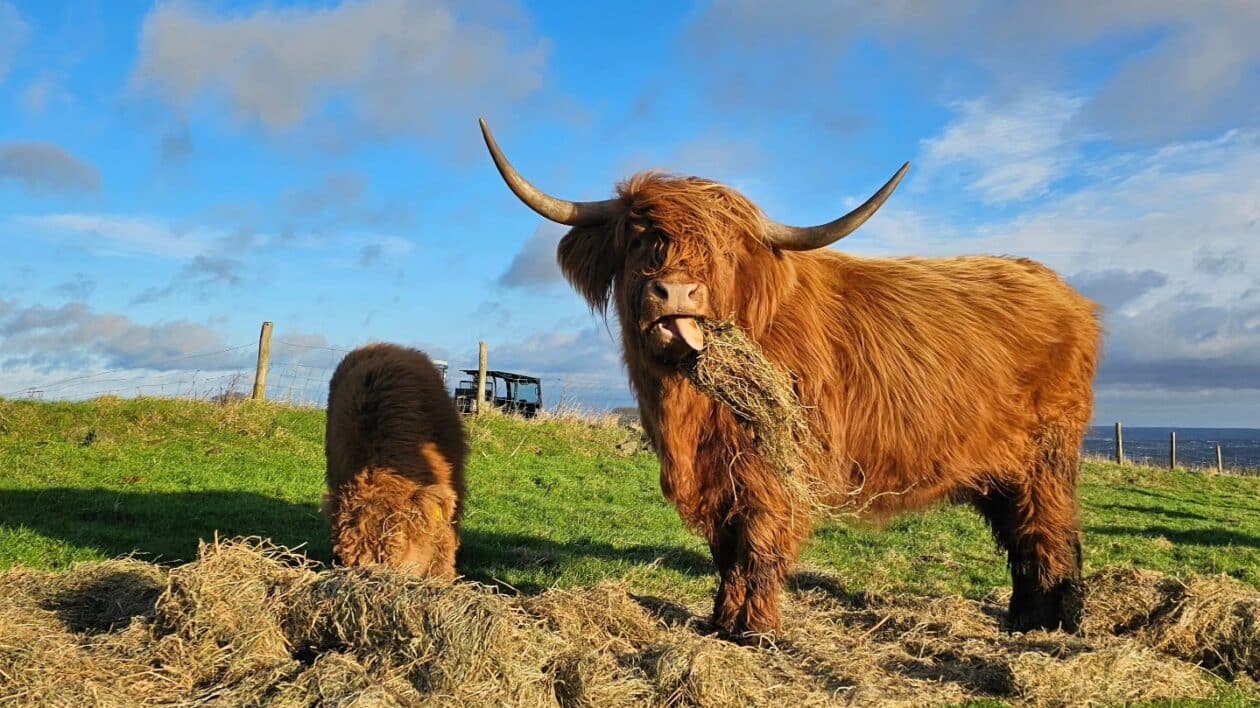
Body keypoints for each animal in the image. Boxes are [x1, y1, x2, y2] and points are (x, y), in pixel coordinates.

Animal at [479, 118, 1102, 638]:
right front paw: (719, 621)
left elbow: (758, 543)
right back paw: (1023, 618)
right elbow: (726, 549)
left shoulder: (772, 470)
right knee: (1022, 534)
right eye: (638, 239)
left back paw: (1056, 622)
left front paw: (753, 629)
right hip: (999, 467)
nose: (676, 293)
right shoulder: (719, 476)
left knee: (1050, 529)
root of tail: (1068, 294)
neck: (687, 415)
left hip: (1045, 455)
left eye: (726, 251)